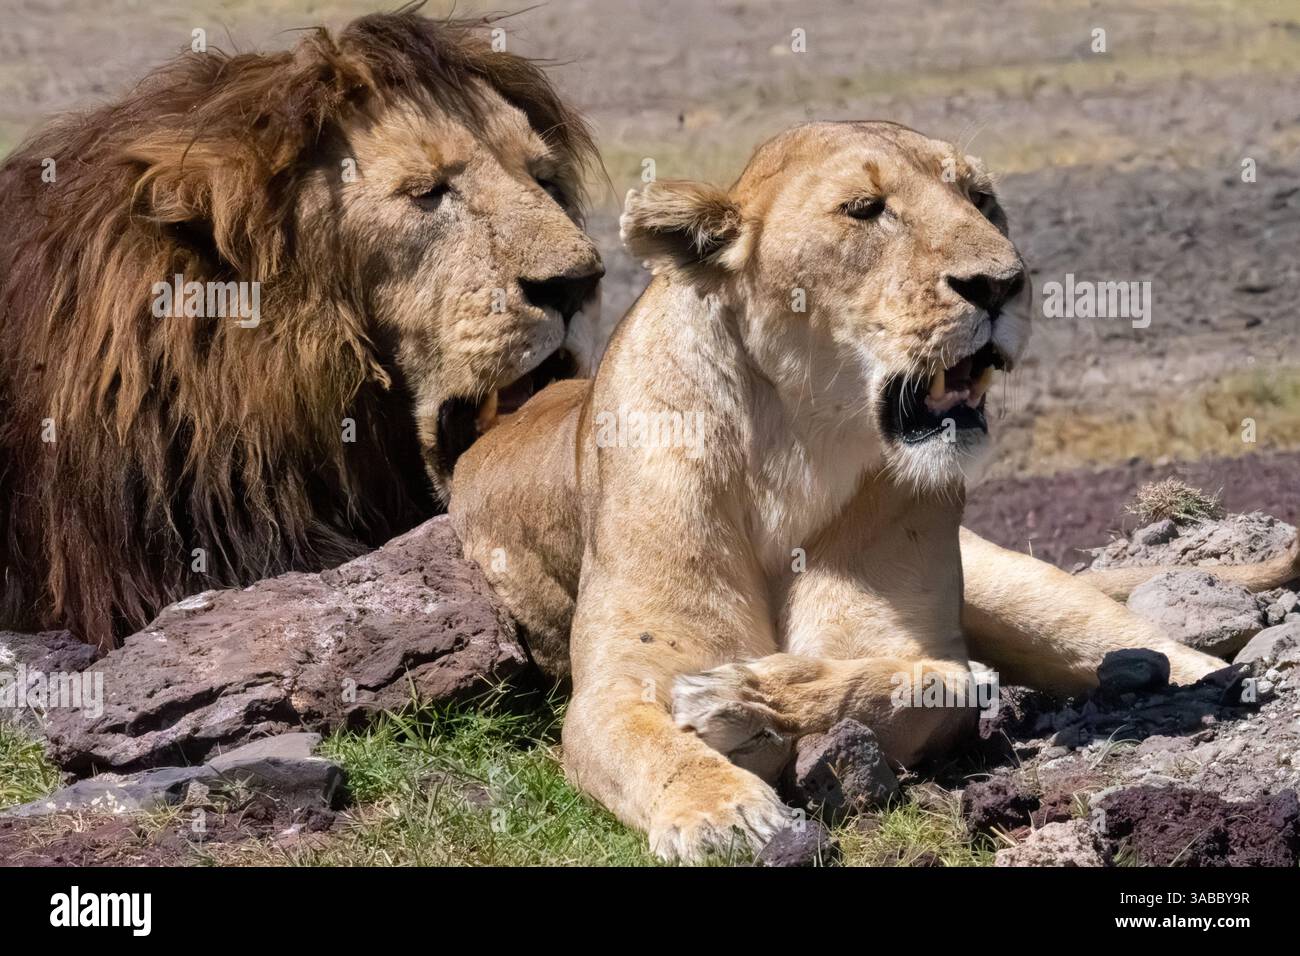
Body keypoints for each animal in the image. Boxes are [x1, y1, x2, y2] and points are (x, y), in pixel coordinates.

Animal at [451, 120, 1300, 861]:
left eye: (981, 197)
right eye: (865, 210)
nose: (1003, 284)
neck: (795, 449)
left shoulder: (908, 645)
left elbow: (920, 680)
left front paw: (746, 699)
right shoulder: (617, 683)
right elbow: (653, 743)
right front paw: (726, 815)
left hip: (1031, 599)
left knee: (1160, 650)